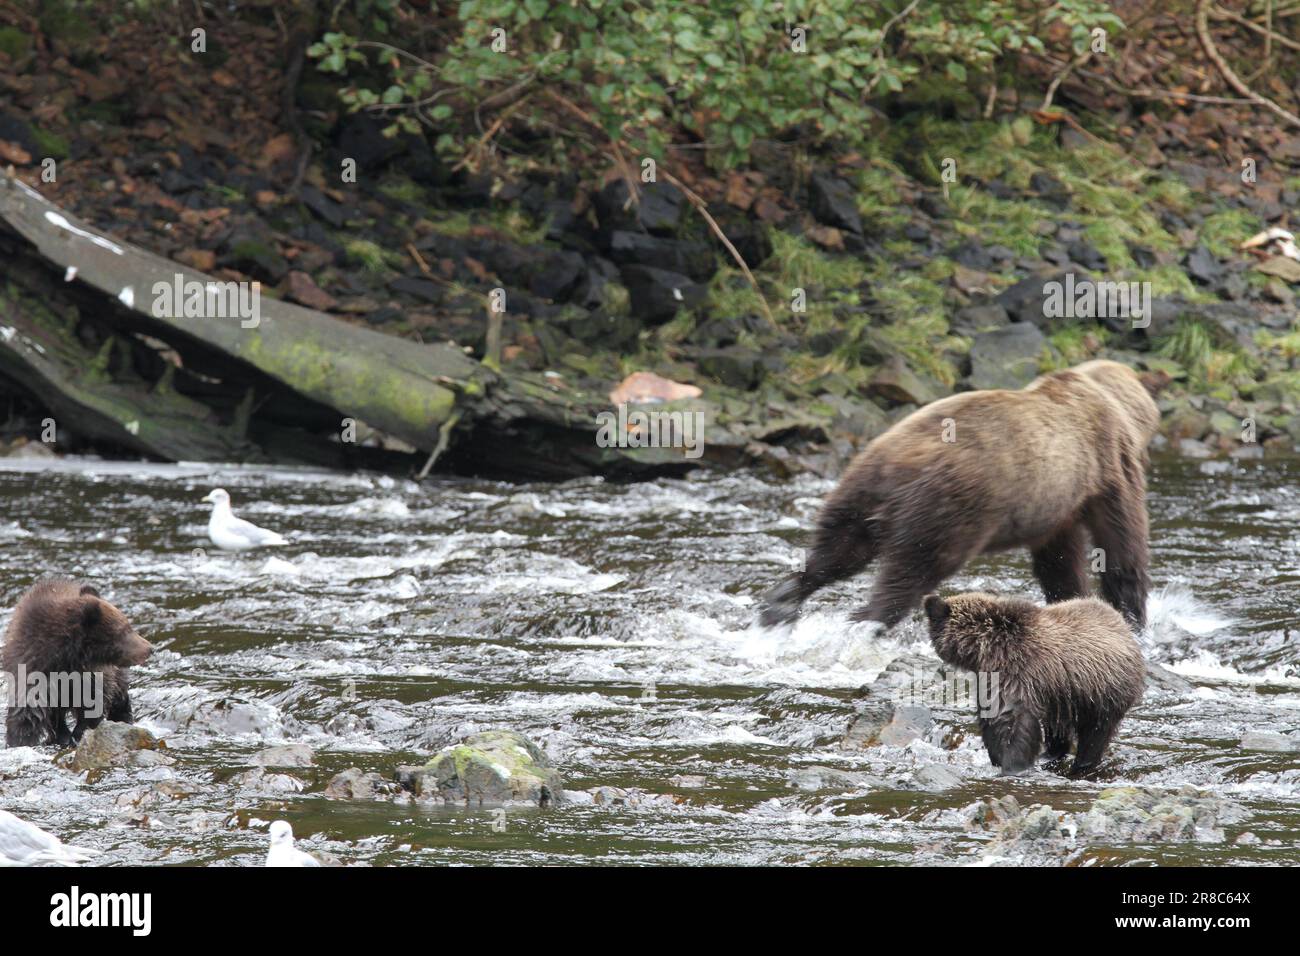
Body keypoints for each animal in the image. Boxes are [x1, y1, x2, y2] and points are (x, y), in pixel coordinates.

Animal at [2, 579, 152, 748]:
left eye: (128, 625)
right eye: (124, 629)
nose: (150, 648)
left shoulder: (91, 676)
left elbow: (94, 703)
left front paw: (79, 734)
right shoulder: (31, 670)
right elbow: (26, 714)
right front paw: (20, 740)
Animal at [760, 360, 1160, 632]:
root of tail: (898, 471)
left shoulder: (1060, 500)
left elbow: (1060, 561)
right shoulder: (1105, 467)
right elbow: (1120, 545)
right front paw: (1130, 616)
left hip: (859, 486)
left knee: (837, 550)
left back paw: (782, 600)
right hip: (948, 506)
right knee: (912, 570)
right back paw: (866, 621)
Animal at [922, 591, 1146, 776]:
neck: (985, 647)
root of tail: (1123, 624)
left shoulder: (1018, 673)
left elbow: (1014, 720)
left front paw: (1012, 766)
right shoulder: (993, 677)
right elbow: (992, 717)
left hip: (1103, 692)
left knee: (1096, 734)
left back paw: (1081, 765)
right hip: (1062, 698)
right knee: (1058, 727)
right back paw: (1050, 753)